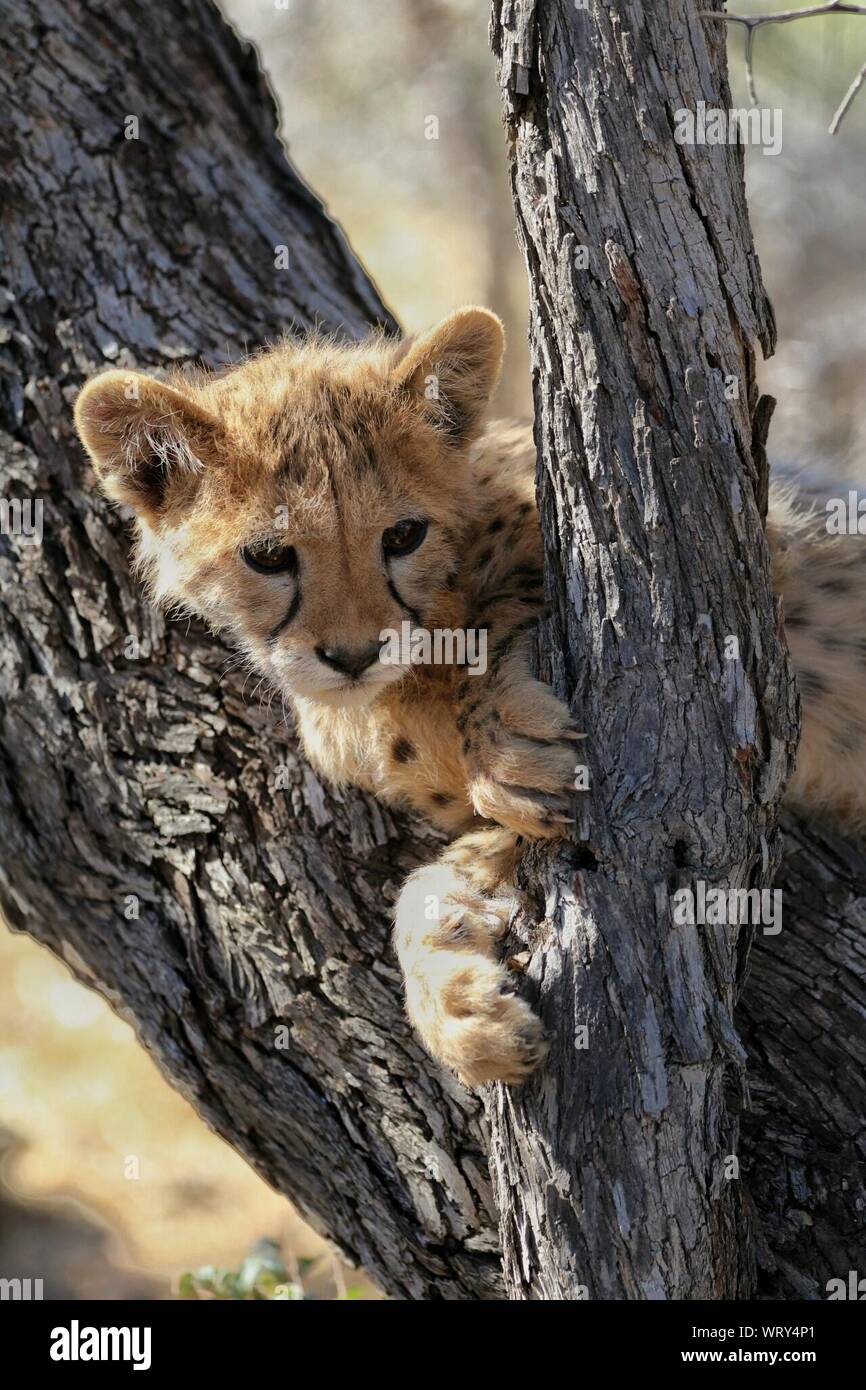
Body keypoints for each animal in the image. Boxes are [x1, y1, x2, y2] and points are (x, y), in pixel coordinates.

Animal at [74, 307, 866, 1087]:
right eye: (268, 556)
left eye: (403, 534)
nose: (354, 654)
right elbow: (427, 884)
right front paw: (462, 1014)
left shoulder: (758, 556)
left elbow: (513, 602)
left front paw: (500, 742)